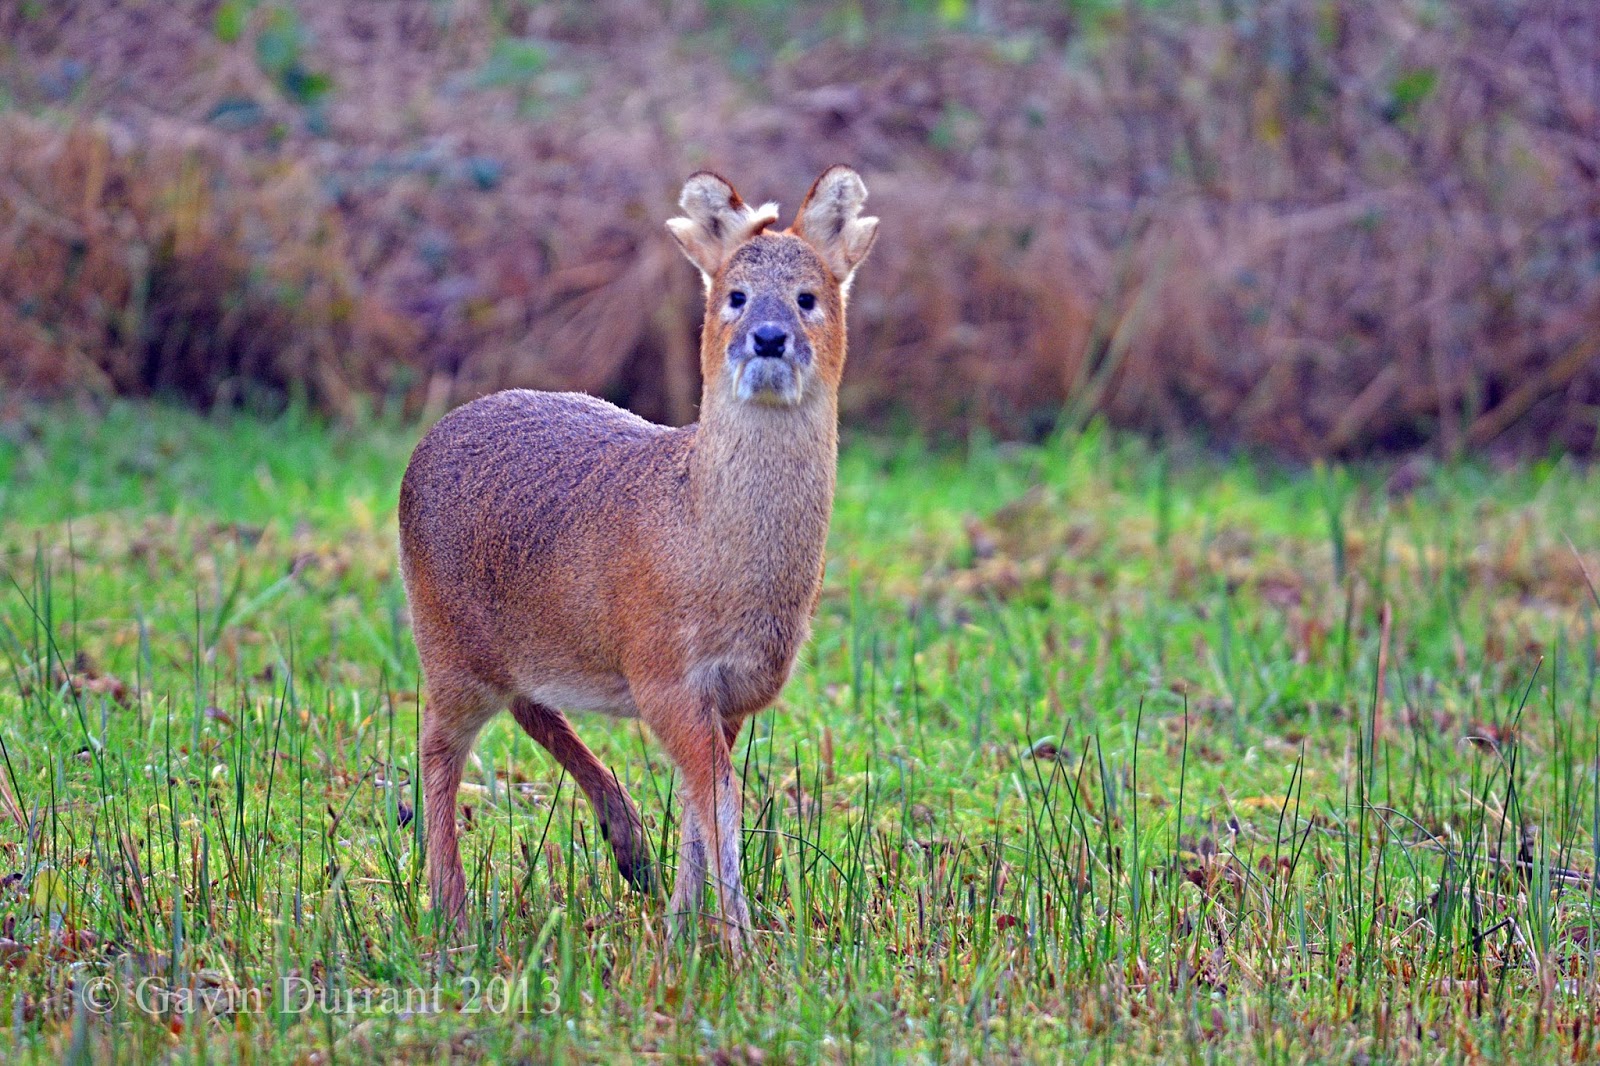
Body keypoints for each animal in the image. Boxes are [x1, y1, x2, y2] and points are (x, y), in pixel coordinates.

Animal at [397, 166, 878, 954]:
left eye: (809, 297)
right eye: (735, 295)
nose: (768, 336)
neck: (703, 541)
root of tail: (428, 442)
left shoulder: (729, 693)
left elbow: (700, 804)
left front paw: (687, 930)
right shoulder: (663, 674)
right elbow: (720, 803)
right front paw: (742, 949)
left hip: (522, 642)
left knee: (532, 706)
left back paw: (627, 849)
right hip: (445, 643)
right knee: (440, 750)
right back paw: (452, 916)